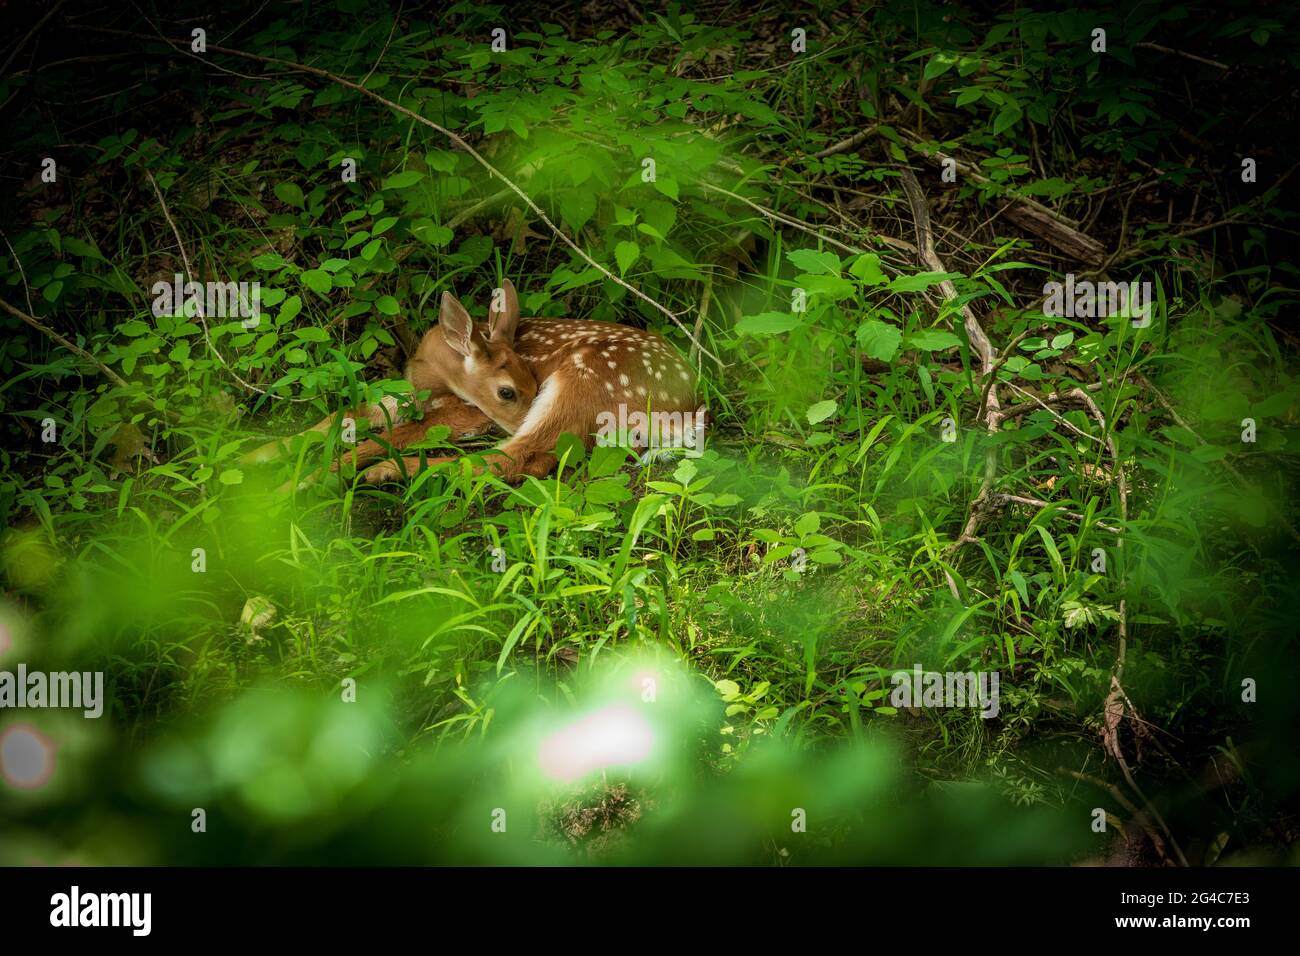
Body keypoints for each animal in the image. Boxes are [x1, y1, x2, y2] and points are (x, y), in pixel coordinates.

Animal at [242, 278, 703, 484]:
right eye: (507, 390)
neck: (429, 378)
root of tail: (685, 409)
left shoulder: (466, 412)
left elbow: (386, 436)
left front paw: (306, 480)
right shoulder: (405, 395)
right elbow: (342, 416)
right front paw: (256, 455)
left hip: (584, 380)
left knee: (512, 457)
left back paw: (386, 472)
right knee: (533, 458)